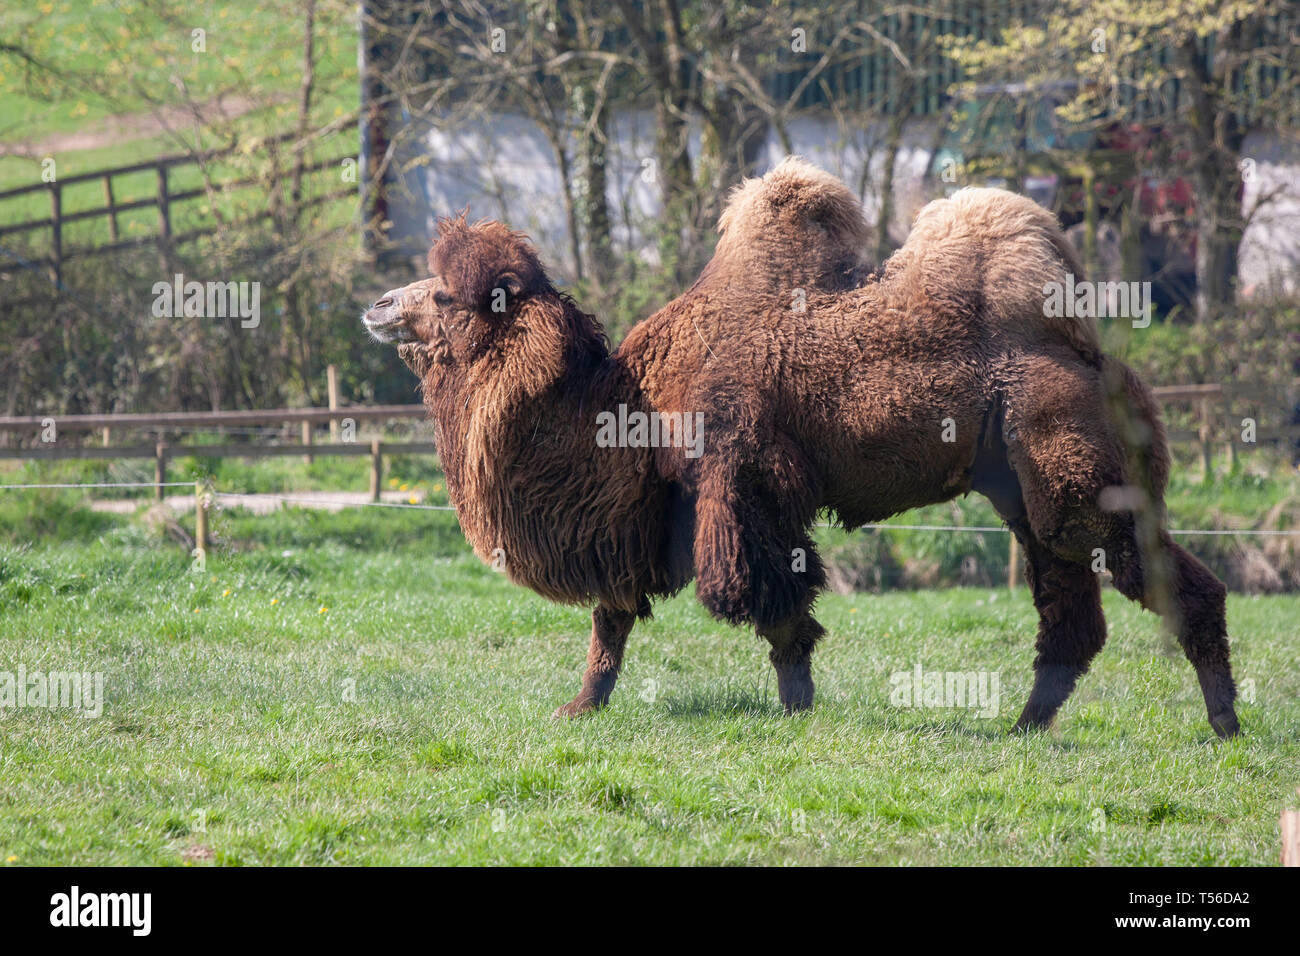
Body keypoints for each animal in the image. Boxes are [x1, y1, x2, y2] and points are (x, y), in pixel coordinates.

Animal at [363, 158, 1239, 738]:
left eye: (443, 295)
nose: (375, 304)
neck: (627, 405)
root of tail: (1095, 356)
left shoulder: (740, 479)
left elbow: (766, 600)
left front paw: (795, 710)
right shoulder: (650, 511)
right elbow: (615, 619)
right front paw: (579, 706)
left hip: (1072, 473)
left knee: (1171, 582)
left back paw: (1224, 726)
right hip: (1024, 491)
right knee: (1069, 612)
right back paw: (1022, 726)